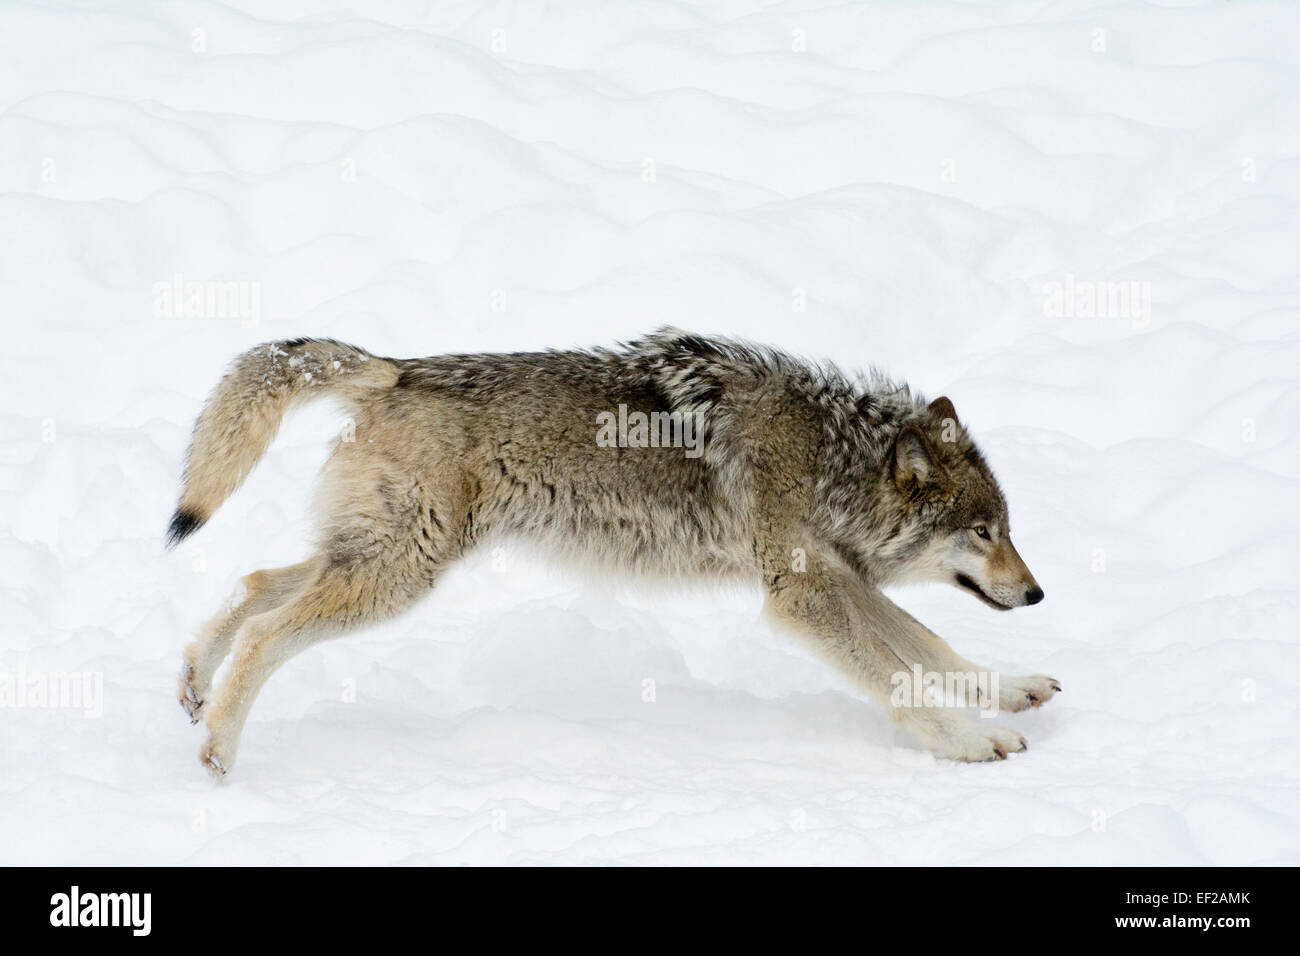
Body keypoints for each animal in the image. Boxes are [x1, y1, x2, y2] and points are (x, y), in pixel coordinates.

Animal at [168, 329, 1057, 777]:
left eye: (1008, 529)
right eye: (984, 532)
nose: (1037, 594)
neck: (828, 459)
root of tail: (396, 369)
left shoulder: (840, 579)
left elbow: (931, 647)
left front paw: (1009, 692)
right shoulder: (802, 594)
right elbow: (898, 677)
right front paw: (968, 744)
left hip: (379, 558)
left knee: (251, 581)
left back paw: (195, 686)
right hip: (400, 573)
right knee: (265, 631)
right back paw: (219, 748)